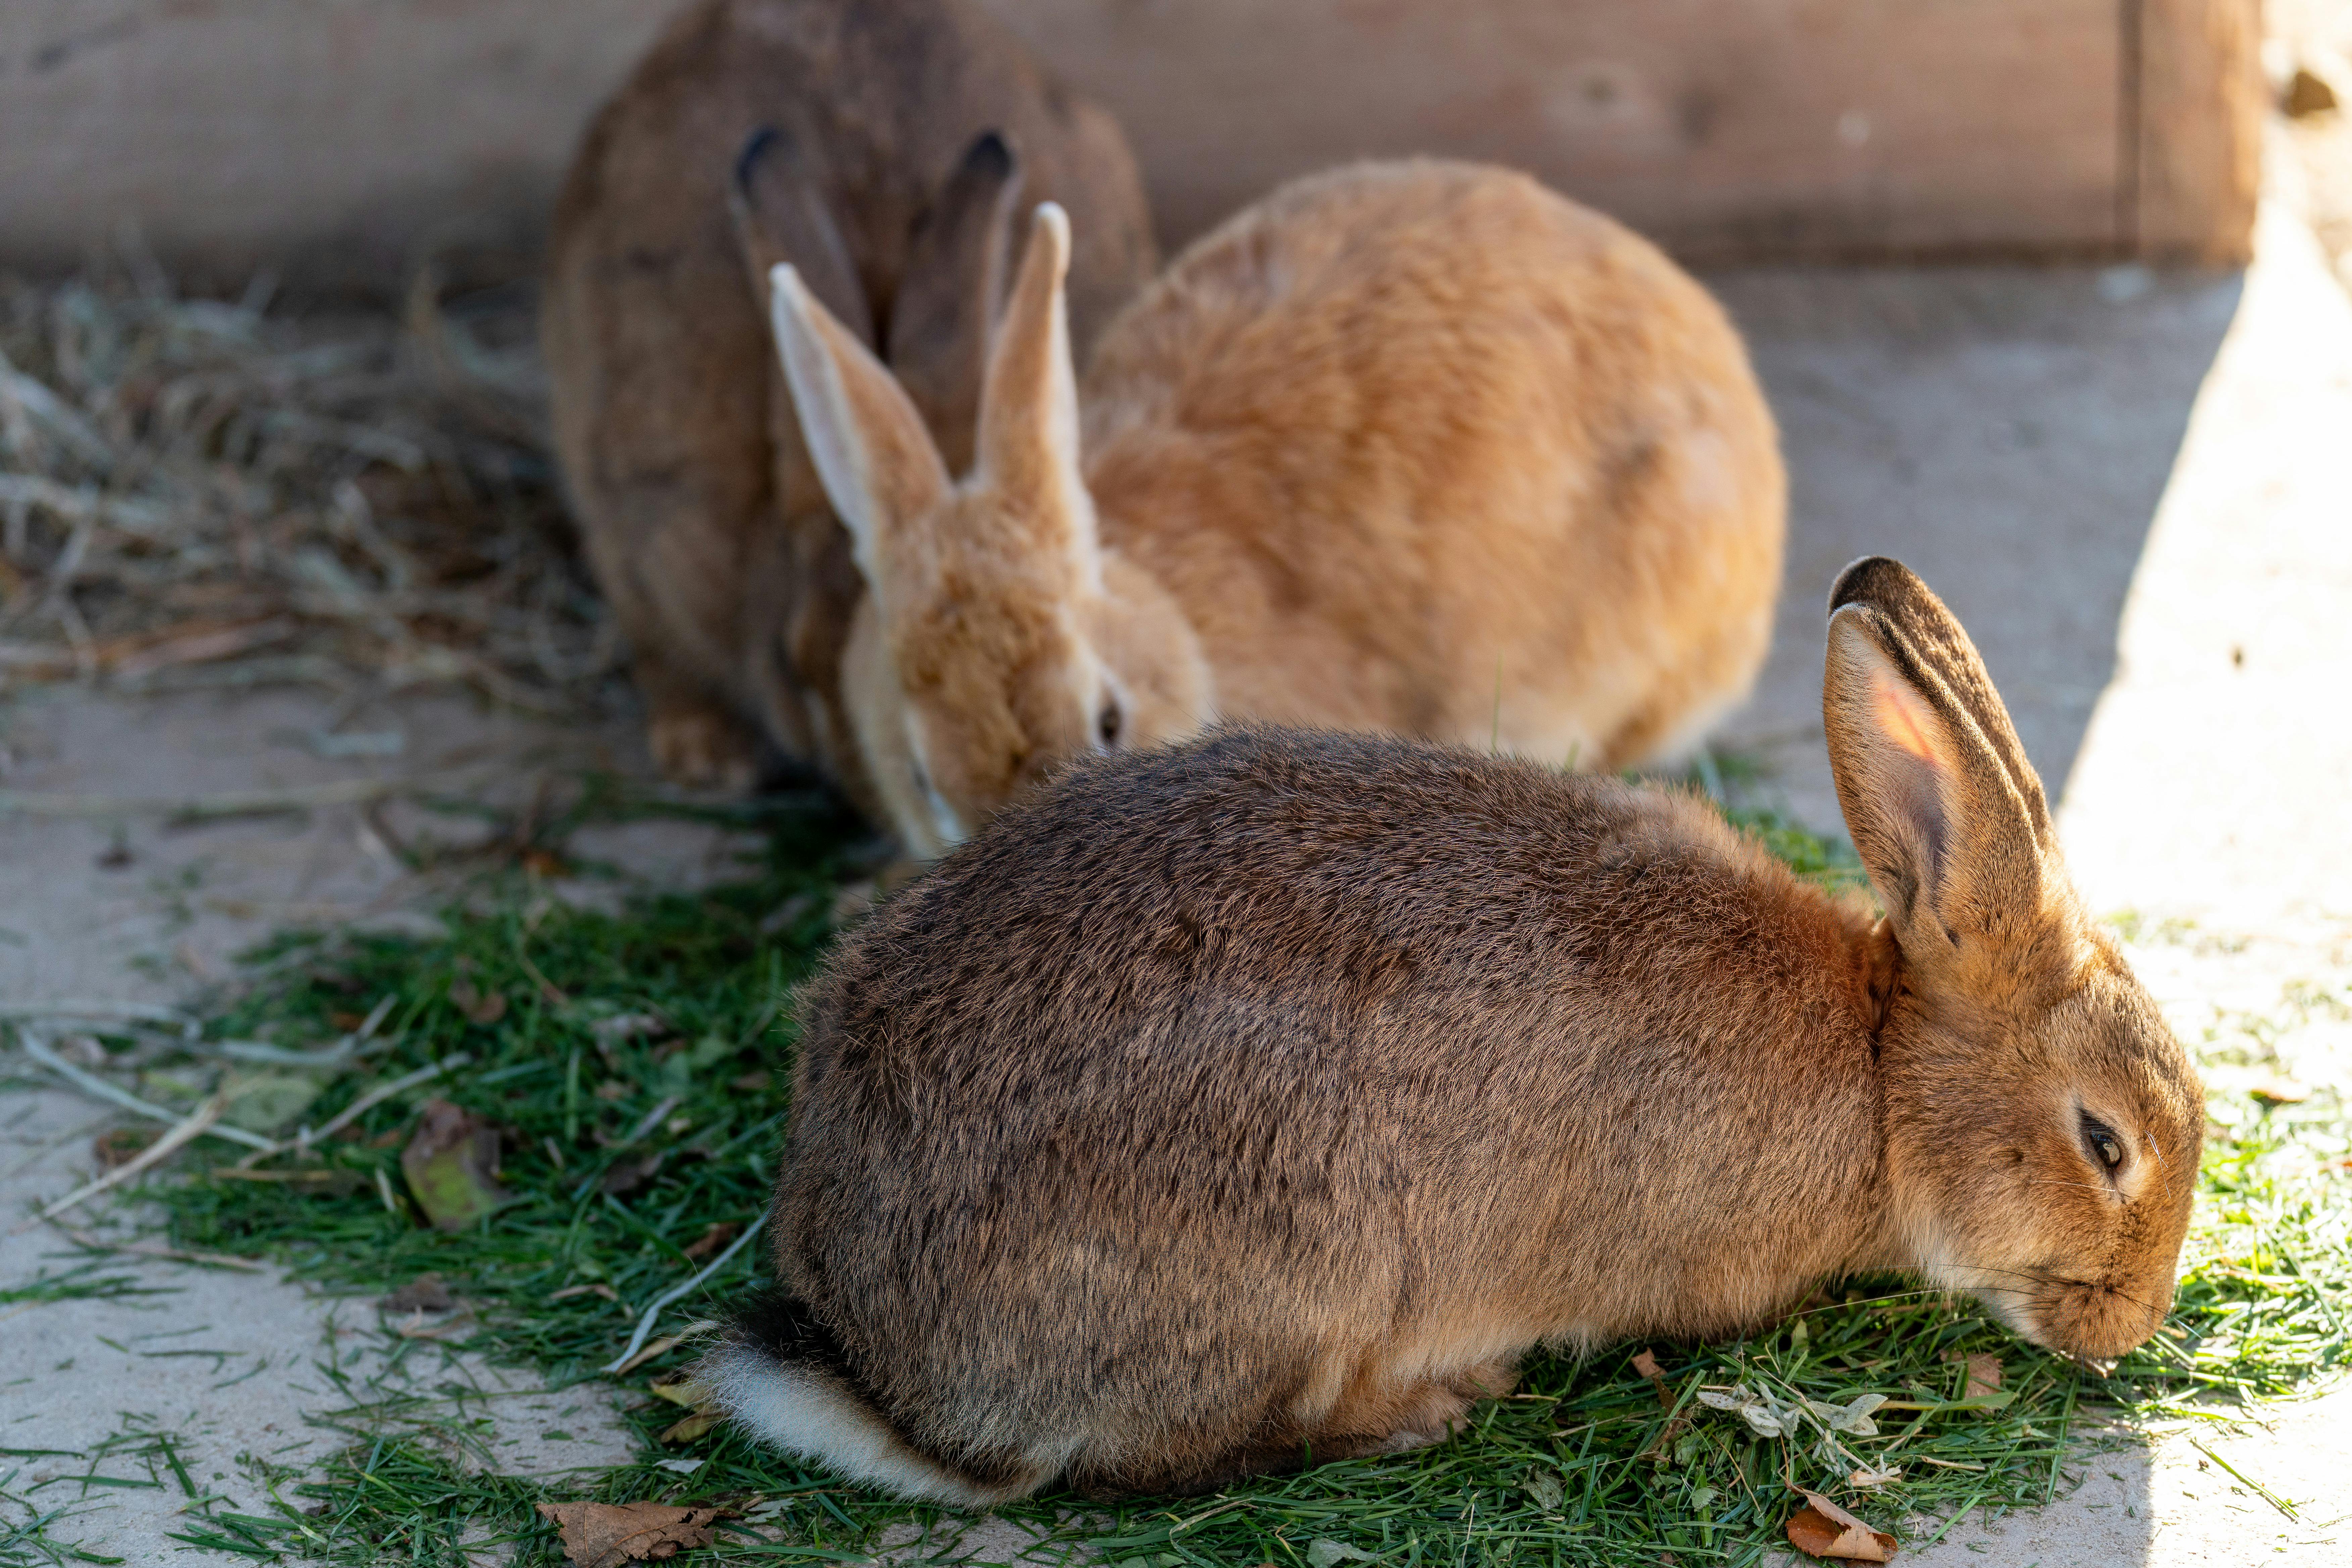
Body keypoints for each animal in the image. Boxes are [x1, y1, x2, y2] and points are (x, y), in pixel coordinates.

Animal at [700, 556, 2204, 1503]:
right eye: (2102, 1142)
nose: (2128, 1325)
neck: (1881, 1074)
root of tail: (883, 1364)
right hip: (1296, 1269)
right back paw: (1423, 1406)